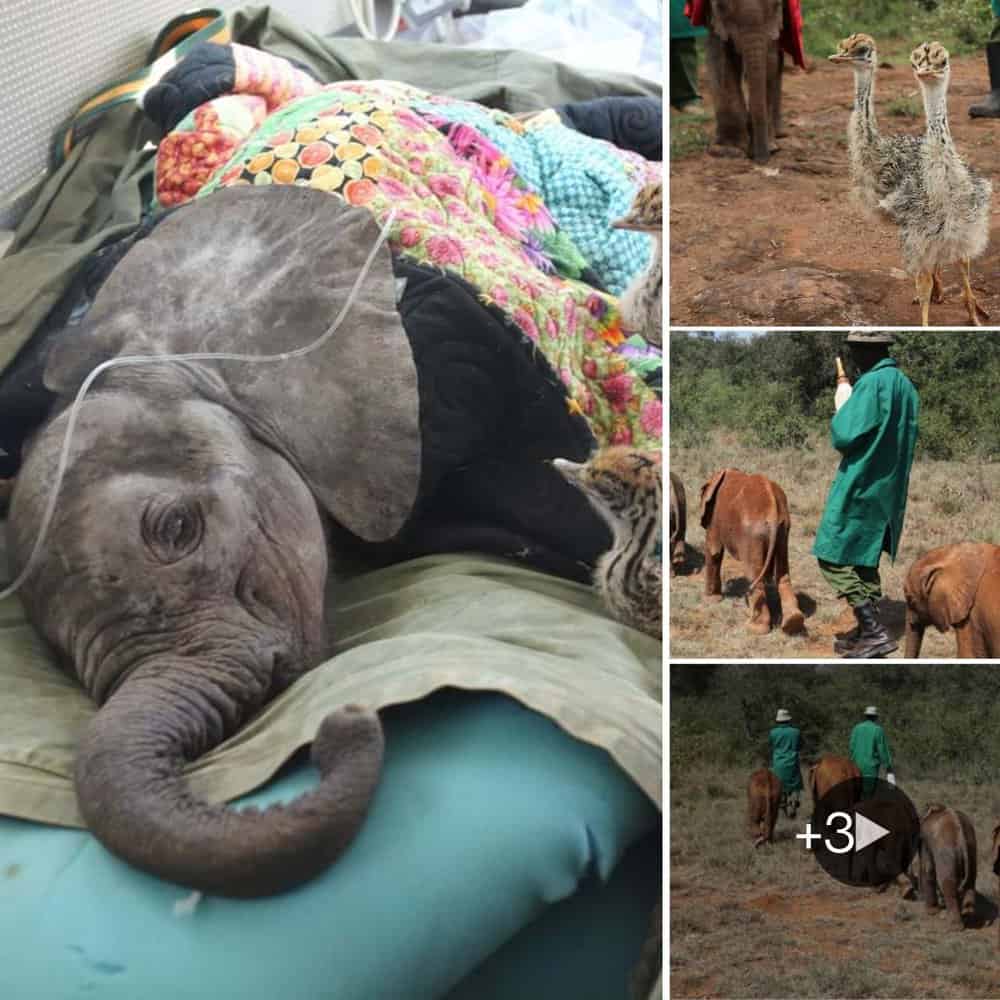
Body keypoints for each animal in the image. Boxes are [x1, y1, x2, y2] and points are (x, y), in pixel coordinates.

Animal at [698, 468, 805, 635]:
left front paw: (710, 601)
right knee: (783, 573)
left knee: (753, 574)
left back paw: (754, 628)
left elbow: (714, 550)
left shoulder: (714, 517)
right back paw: (793, 623)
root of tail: (773, 507)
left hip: (752, 534)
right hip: (784, 528)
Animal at [702, 0, 785, 163]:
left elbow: (770, 60)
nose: (761, 161)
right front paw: (727, 150)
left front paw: (770, 148)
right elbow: (721, 57)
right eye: (721, 6)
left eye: (777, 4)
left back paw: (778, 134)